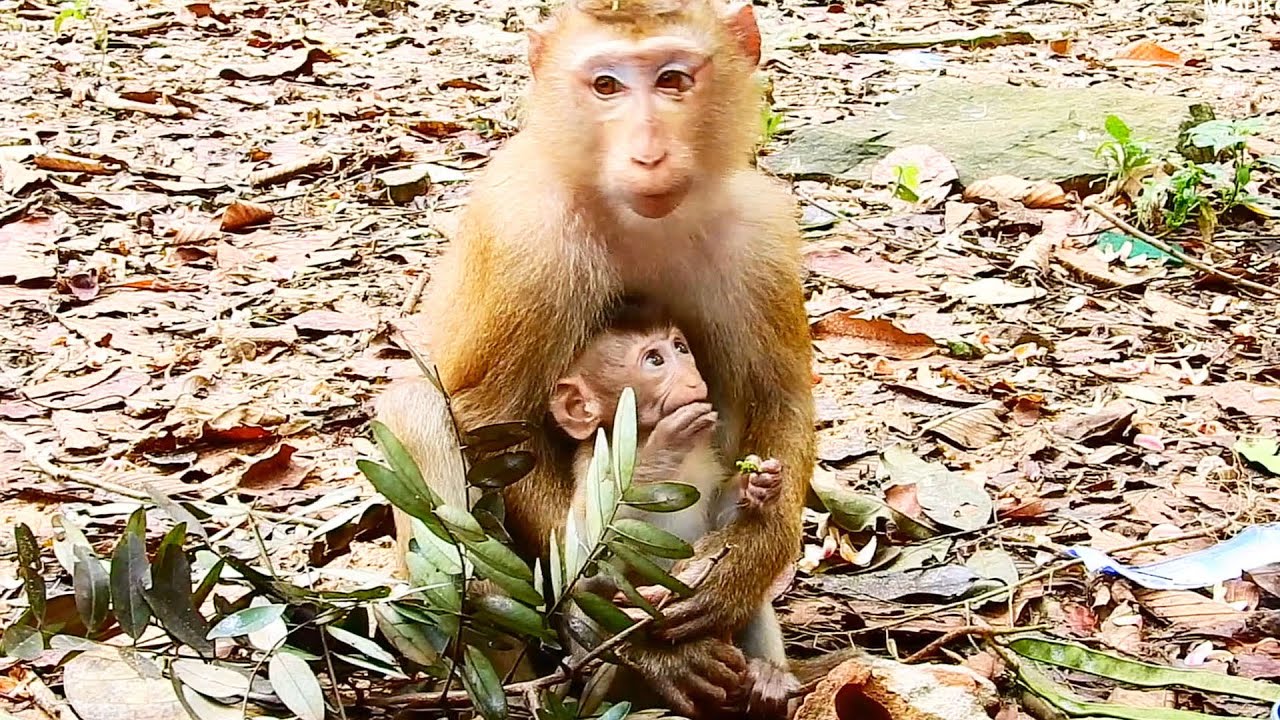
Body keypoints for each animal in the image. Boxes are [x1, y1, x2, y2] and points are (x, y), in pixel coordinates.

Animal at [548, 303, 800, 717]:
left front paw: (759, 485)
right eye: (655, 360)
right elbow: (587, 570)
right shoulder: (596, 464)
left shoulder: (708, 455)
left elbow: (717, 519)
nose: (693, 377)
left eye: (680, 347)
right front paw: (663, 447)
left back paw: (768, 677)